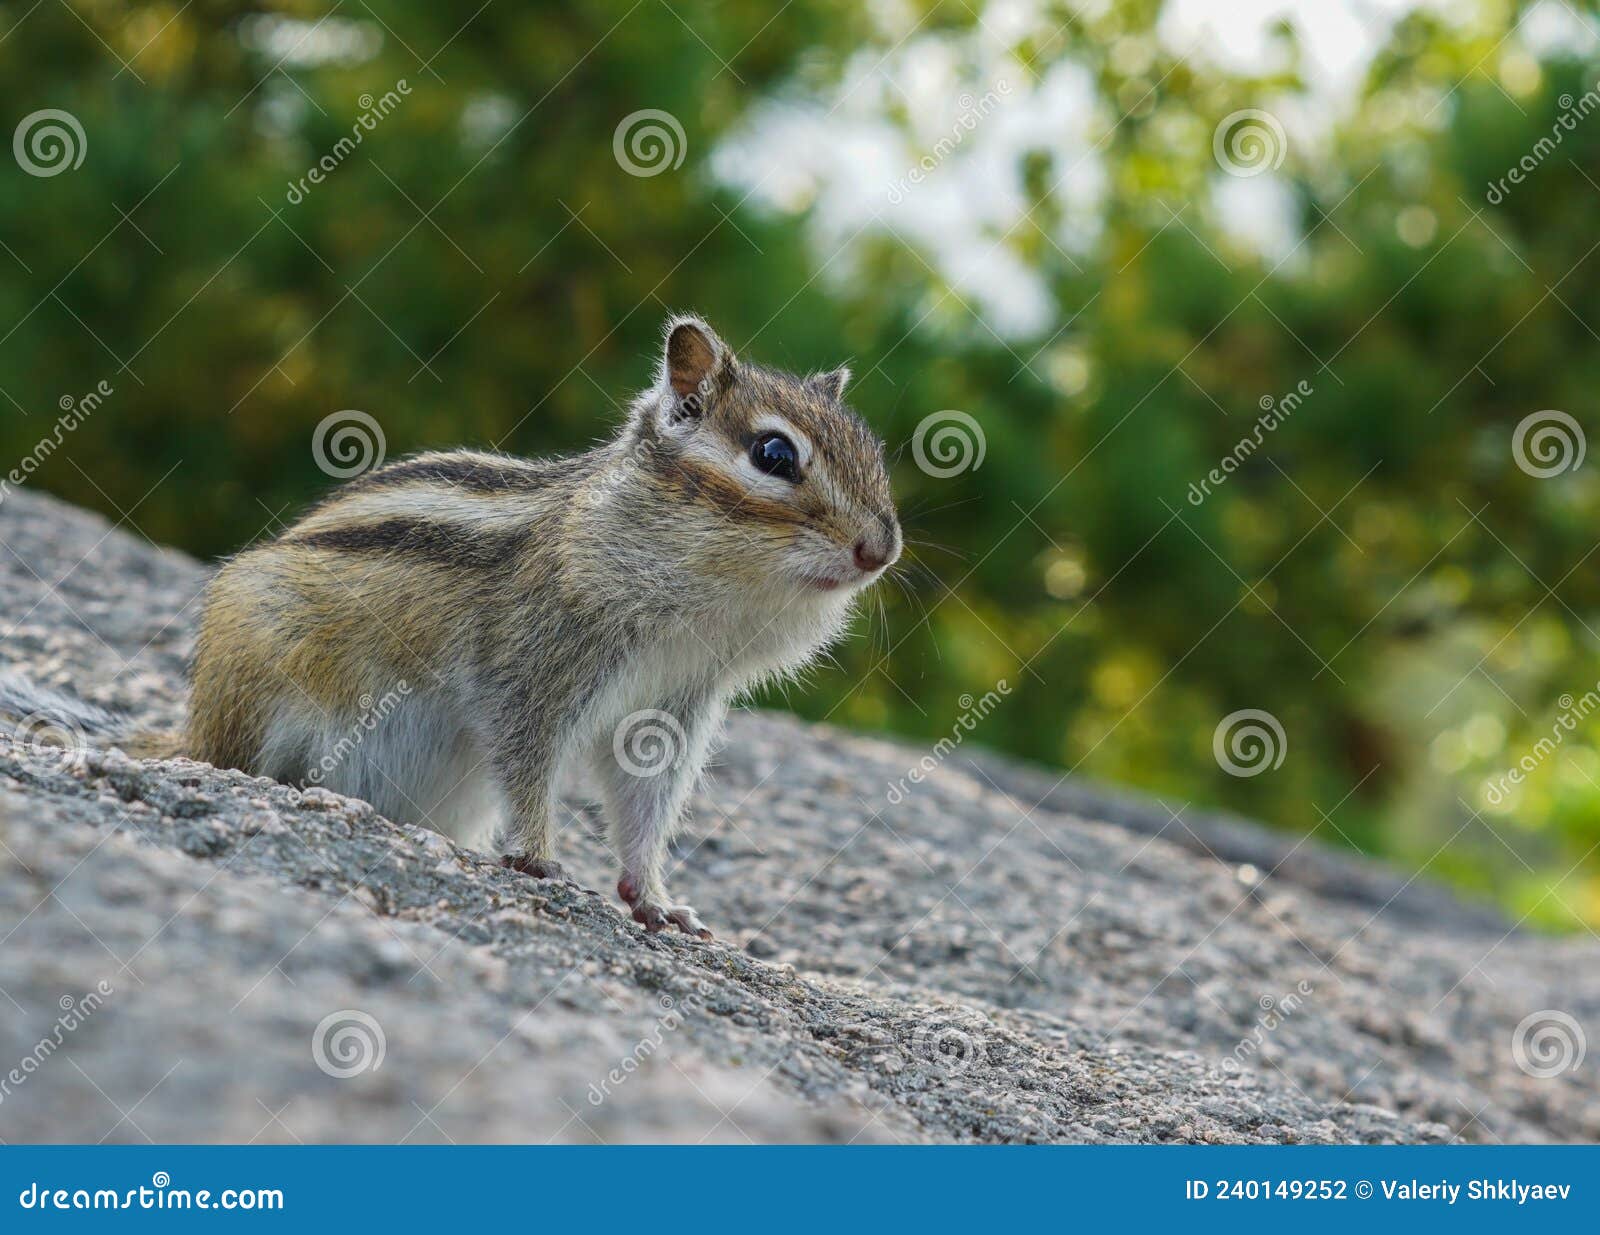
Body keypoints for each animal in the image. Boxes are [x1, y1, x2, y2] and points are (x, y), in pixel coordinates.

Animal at [1, 315, 901, 939]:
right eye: (774, 456)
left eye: (876, 453)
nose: (881, 549)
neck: (703, 604)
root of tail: (191, 729)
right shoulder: (536, 659)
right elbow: (528, 756)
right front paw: (538, 854)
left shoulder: (676, 701)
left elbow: (647, 801)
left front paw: (656, 897)